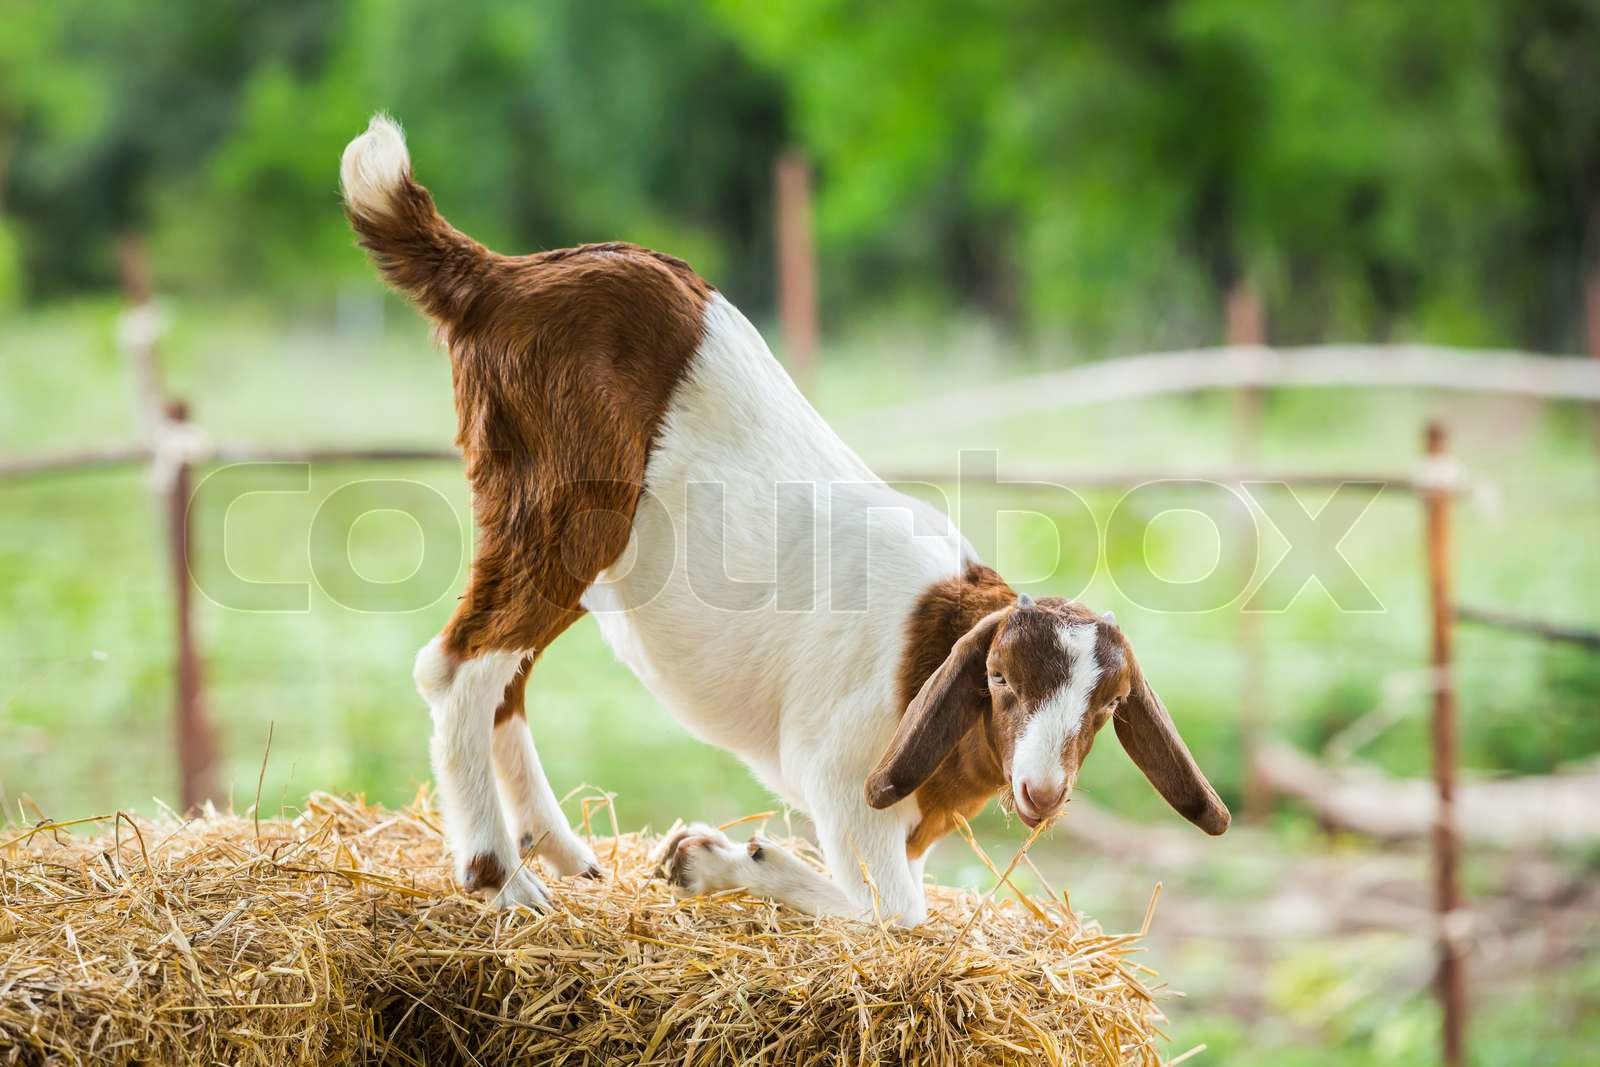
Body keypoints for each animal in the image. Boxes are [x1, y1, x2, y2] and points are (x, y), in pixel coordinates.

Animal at [340, 115, 1229, 923]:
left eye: (1107, 706)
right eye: (1000, 678)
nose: (1042, 791)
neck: (933, 649)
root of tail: (497, 277)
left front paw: (701, 857)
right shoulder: (844, 780)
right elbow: (893, 913)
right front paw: (713, 858)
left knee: (505, 674)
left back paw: (562, 851)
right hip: (559, 504)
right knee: (460, 664)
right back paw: (501, 877)